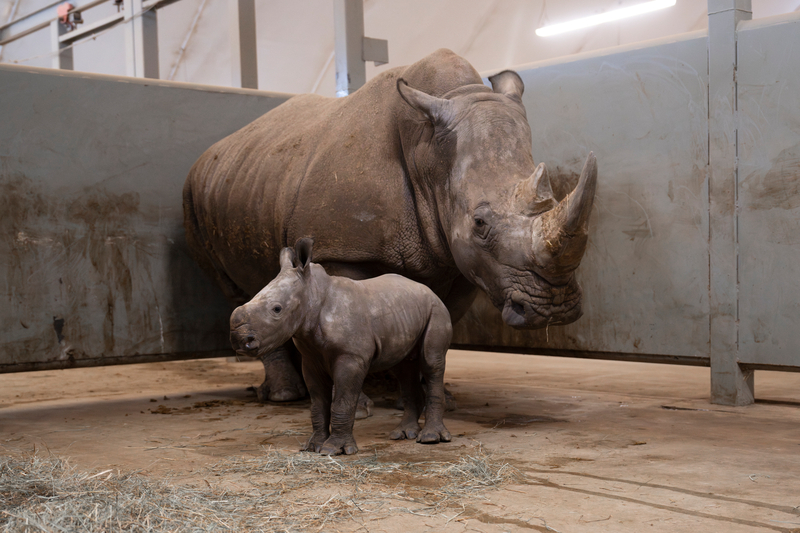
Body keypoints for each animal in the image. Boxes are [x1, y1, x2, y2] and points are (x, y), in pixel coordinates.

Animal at [183, 48, 597, 402]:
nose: (555, 308)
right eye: (479, 223)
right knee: (235, 289)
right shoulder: (341, 248)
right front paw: (360, 399)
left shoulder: (462, 264)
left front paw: (425, 393)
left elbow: (441, 318)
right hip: (191, 199)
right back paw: (287, 396)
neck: (428, 155)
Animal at [230, 238, 452, 455]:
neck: (313, 295)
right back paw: (403, 434)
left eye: (277, 309)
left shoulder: (351, 356)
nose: (239, 340)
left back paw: (430, 439)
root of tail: (427, 289)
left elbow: (342, 402)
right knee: (404, 368)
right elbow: (318, 404)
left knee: (431, 363)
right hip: (405, 312)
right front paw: (313, 446)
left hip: (437, 309)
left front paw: (334, 450)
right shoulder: (310, 359)